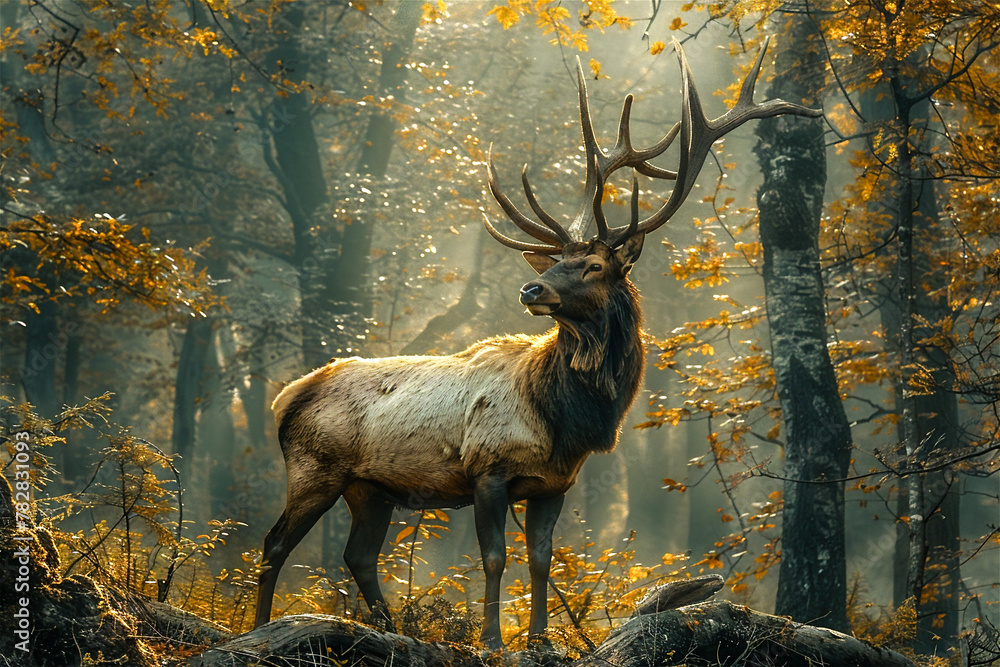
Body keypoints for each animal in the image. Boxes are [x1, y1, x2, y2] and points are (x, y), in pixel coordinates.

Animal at [253, 40, 821, 650]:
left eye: (593, 265)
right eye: (555, 261)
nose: (531, 288)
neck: (563, 419)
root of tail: (287, 396)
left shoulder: (554, 485)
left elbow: (542, 560)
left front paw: (541, 638)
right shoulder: (487, 469)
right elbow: (495, 558)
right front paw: (493, 639)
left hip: (370, 487)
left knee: (357, 554)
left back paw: (391, 629)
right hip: (315, 467)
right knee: (275, 543)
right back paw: (260, 627)